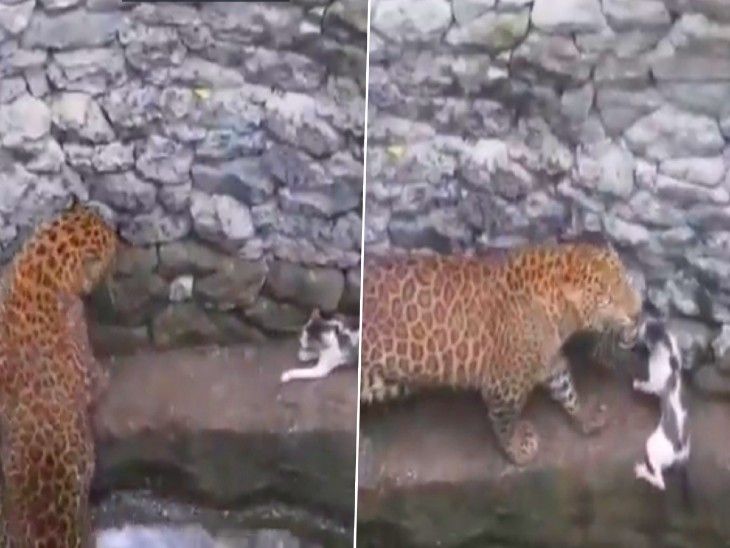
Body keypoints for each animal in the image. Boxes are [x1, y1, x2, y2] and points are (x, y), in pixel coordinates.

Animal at [360, 241, 642, 465]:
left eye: (627, 281)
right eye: (607, 298)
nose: (638, 315)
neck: (561, 312)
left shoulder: (548, 360)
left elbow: (566, 388)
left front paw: (586, 415)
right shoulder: (504, 385)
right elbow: (505, 421)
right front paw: (518, 450)